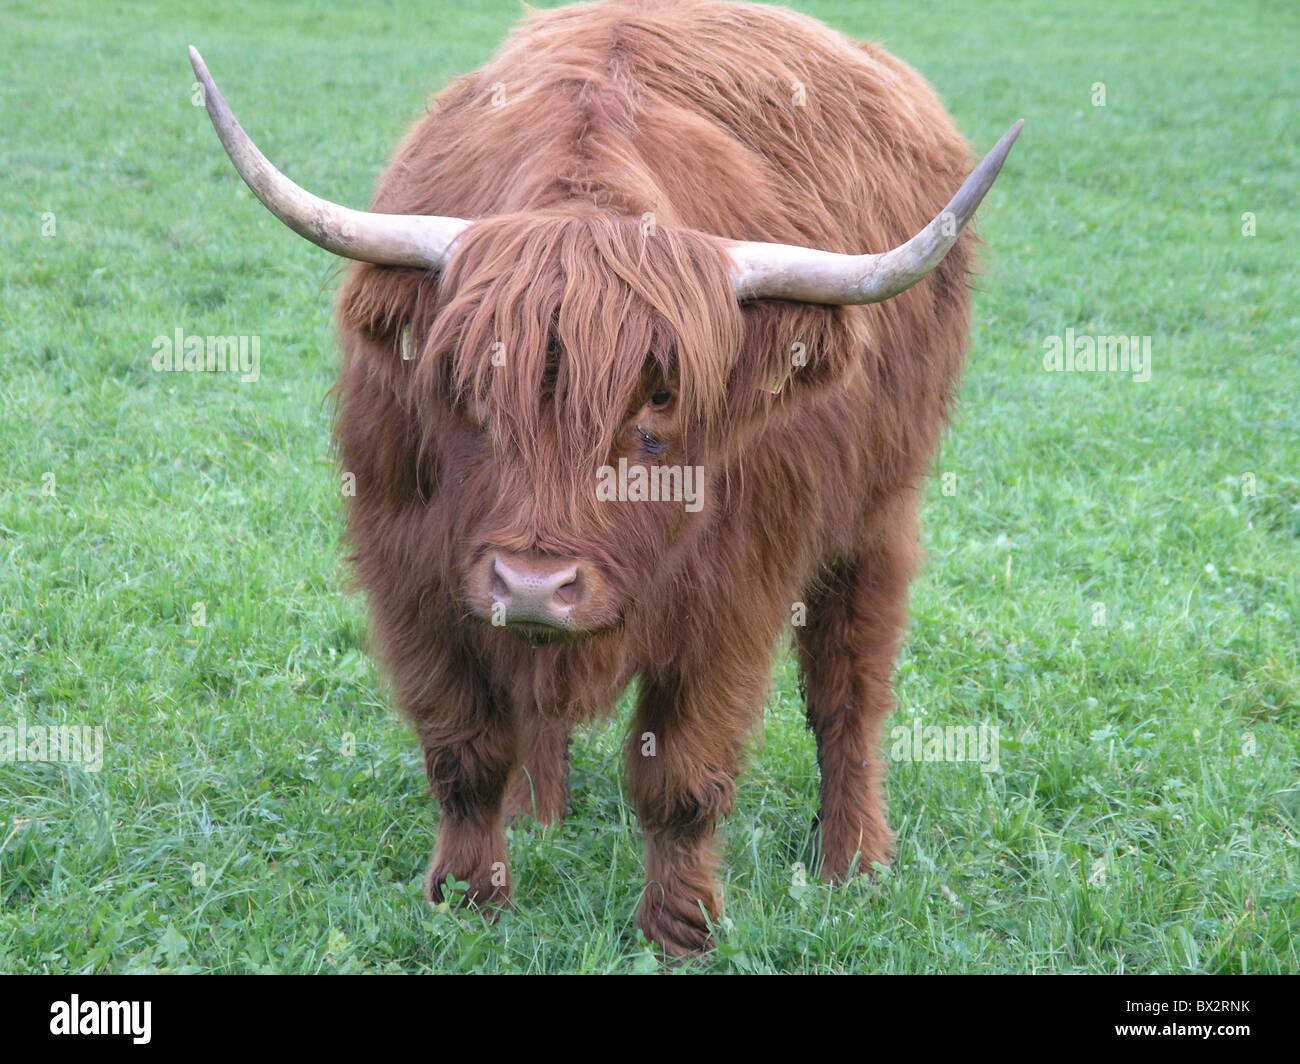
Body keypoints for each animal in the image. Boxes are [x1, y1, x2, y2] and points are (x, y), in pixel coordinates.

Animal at [192, 0, 1019, 952]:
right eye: (471, 385)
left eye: (659, 400)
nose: (534, 584)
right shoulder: (411, 569)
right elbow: (464, 749)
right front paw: (469, 899)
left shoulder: (735, 589)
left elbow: (685, 774)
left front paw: (680, 928)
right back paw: (538, 810)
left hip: (880, 513)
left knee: (848, 687)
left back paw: (854, 859)